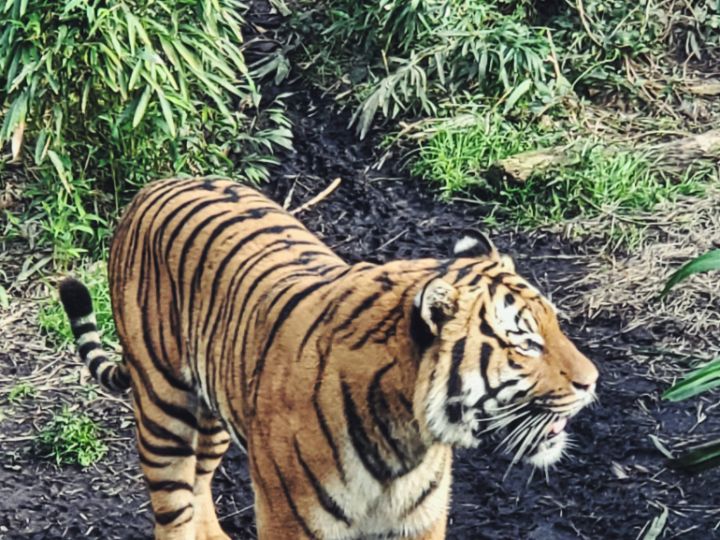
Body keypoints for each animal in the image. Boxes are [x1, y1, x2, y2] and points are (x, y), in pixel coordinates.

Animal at [59, 176, 598, 540]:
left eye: (554, 325)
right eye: (525, 343)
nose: (592, 382)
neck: (405, 446)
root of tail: (155, 186)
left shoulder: (419, 524)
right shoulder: (293, 521)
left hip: (215, 411)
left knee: (200, 481)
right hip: (164, 410)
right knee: (173, 506)